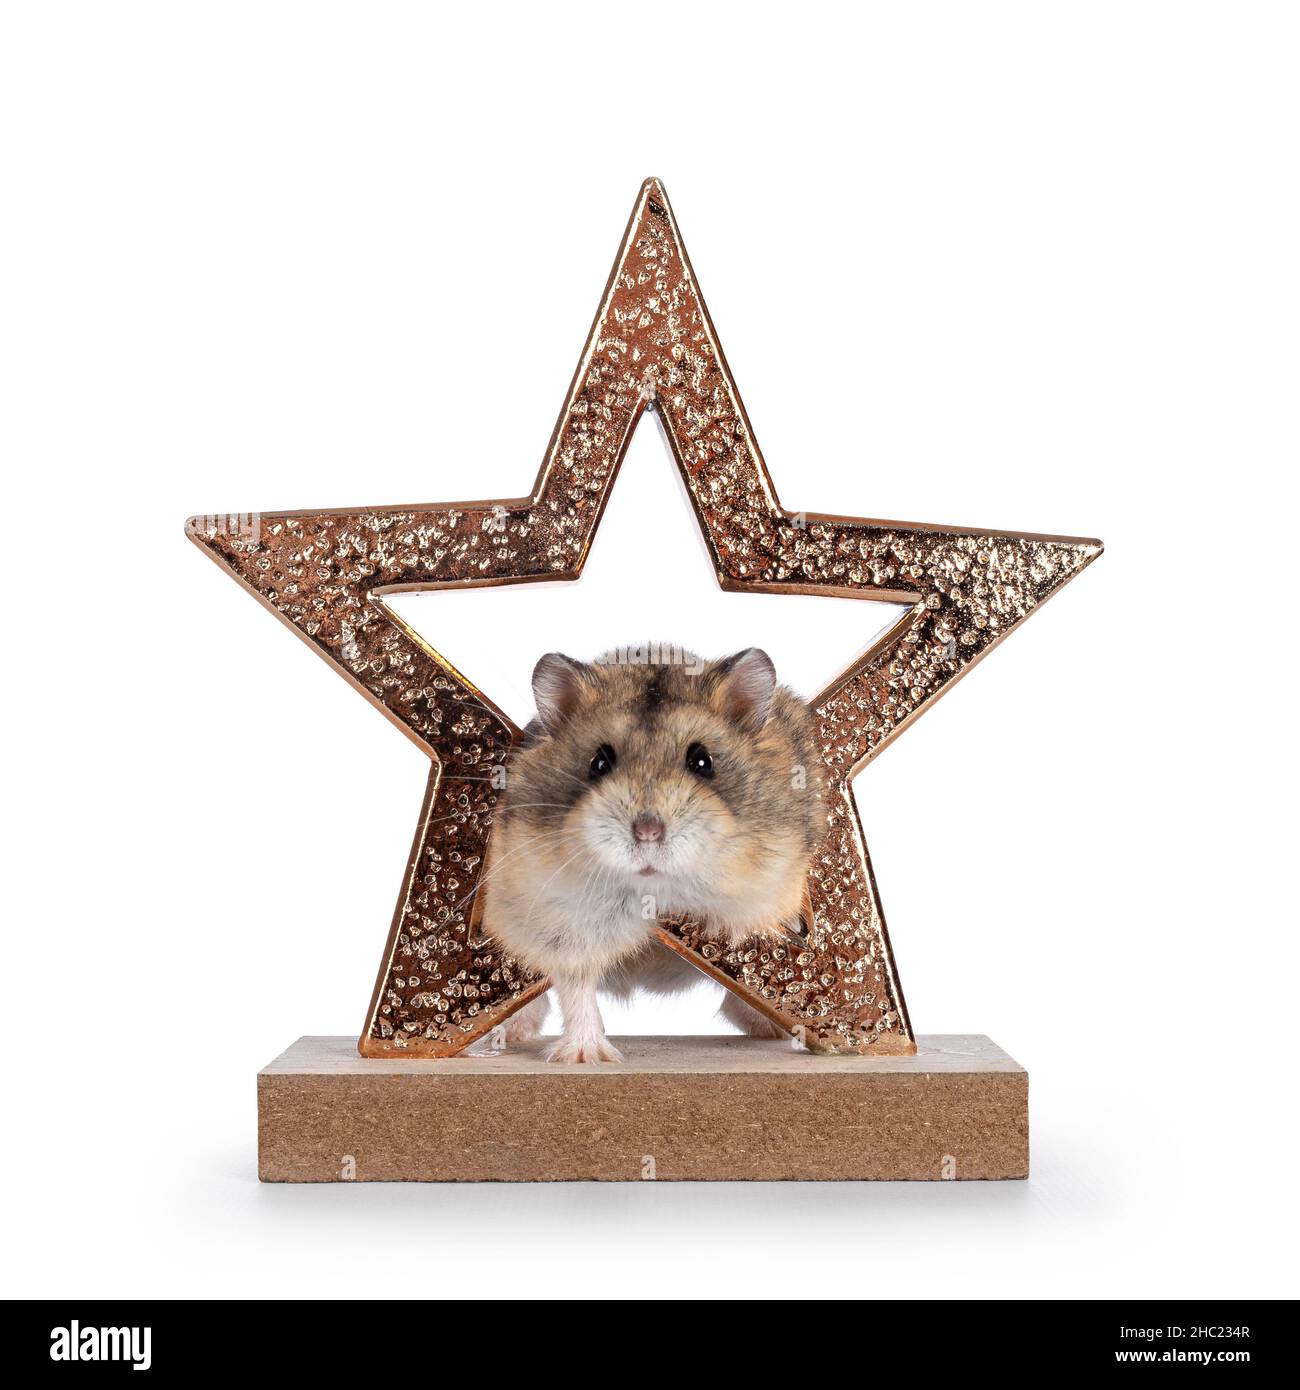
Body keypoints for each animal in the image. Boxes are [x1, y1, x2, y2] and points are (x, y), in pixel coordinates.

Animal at [482, 646, 823, 1062]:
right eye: (599, 762)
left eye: (702, 761)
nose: (648, 832)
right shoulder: (556, 927)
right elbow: (578, 989)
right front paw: (586, 1057)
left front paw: (728, 931)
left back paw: (771, 1027)